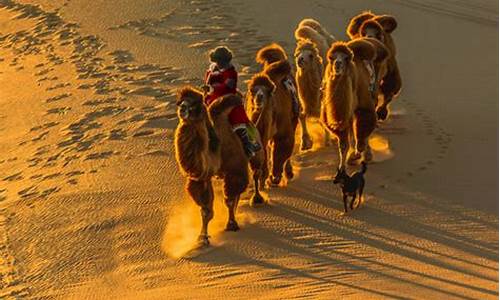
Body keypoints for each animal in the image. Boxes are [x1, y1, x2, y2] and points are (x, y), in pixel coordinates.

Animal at [175, 86, 264, 246]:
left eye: (196, 105)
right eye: (179, 102)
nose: (182, 109)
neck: (217, 150)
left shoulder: (235, 169)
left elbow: (229, 200)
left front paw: (231, 224)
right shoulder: (202, 178)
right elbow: (206, 209)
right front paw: (202, 238)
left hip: (256, 150)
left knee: (256, 173)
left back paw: (257, 198)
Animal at [249, 44, 296, 188]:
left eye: (268, 93)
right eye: (252, 92)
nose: (259, 99)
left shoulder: (283, 131)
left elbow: (280, 152)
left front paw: (273, 178)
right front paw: (266, 178)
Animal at [322, 39, 376, 172]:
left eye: (345, 58)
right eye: (332, 58)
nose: (338, 64)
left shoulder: (363, 104)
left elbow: (362, 131)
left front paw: (355, 156)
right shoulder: (338, 118)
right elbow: (343, 144)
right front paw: (342, 167)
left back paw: (366, 155)